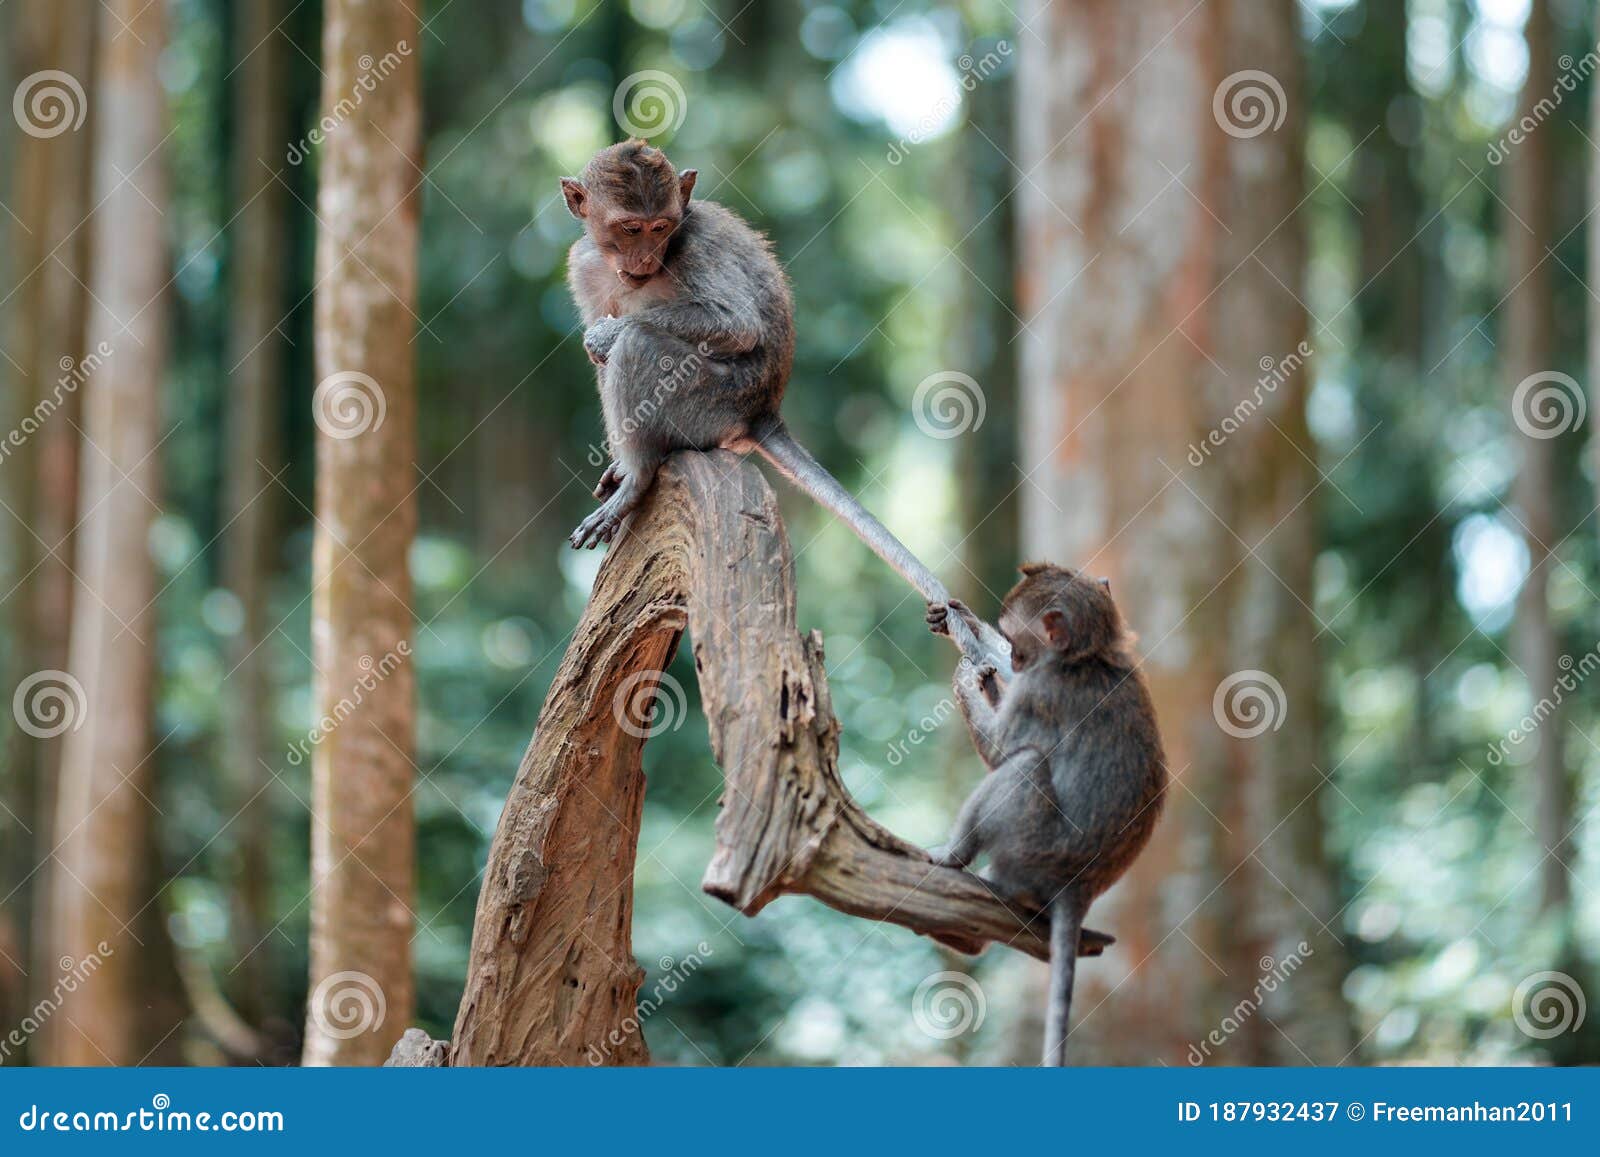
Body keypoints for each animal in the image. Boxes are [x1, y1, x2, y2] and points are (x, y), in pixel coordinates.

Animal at [560, 140, 992, 666]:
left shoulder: (695, 247)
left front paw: (607, 334)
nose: (644, 257)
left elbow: (736, 324)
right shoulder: (583, 264)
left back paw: (638, 475)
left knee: (640, 344)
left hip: (711, 402)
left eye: (660, 228)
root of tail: (761, 414)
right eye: (629, 229)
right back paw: (630, 467)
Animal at [925, 564, 1167, 1066]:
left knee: (1025, 766)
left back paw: (953, 857)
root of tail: (1080, 888)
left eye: (1019, 639)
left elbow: (1001, 751)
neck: (1088, 657)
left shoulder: (1041, 690)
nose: (1016, 660)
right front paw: (964, 621)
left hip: (1031, 848)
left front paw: (967, 680)